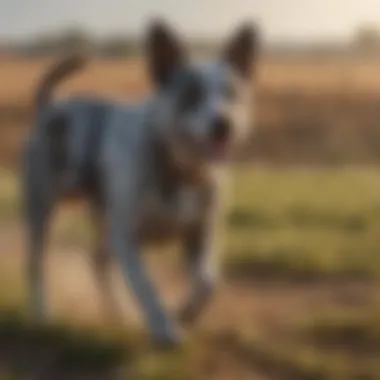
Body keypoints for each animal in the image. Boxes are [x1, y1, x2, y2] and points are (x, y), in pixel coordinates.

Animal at [20, 20, 258, 348]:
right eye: (191, 94)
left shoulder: (199, 234)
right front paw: (162, 326)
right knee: (37, 263)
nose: (223, 123)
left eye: (231, 93)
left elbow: (207, 282)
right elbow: (146, 287)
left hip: (103, 217)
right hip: (42, 208)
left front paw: (183, 314)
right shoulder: (128, 238)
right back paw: (43, 313)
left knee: (99, 262)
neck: (178, 170)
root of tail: (51, 108)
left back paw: (119, 314)